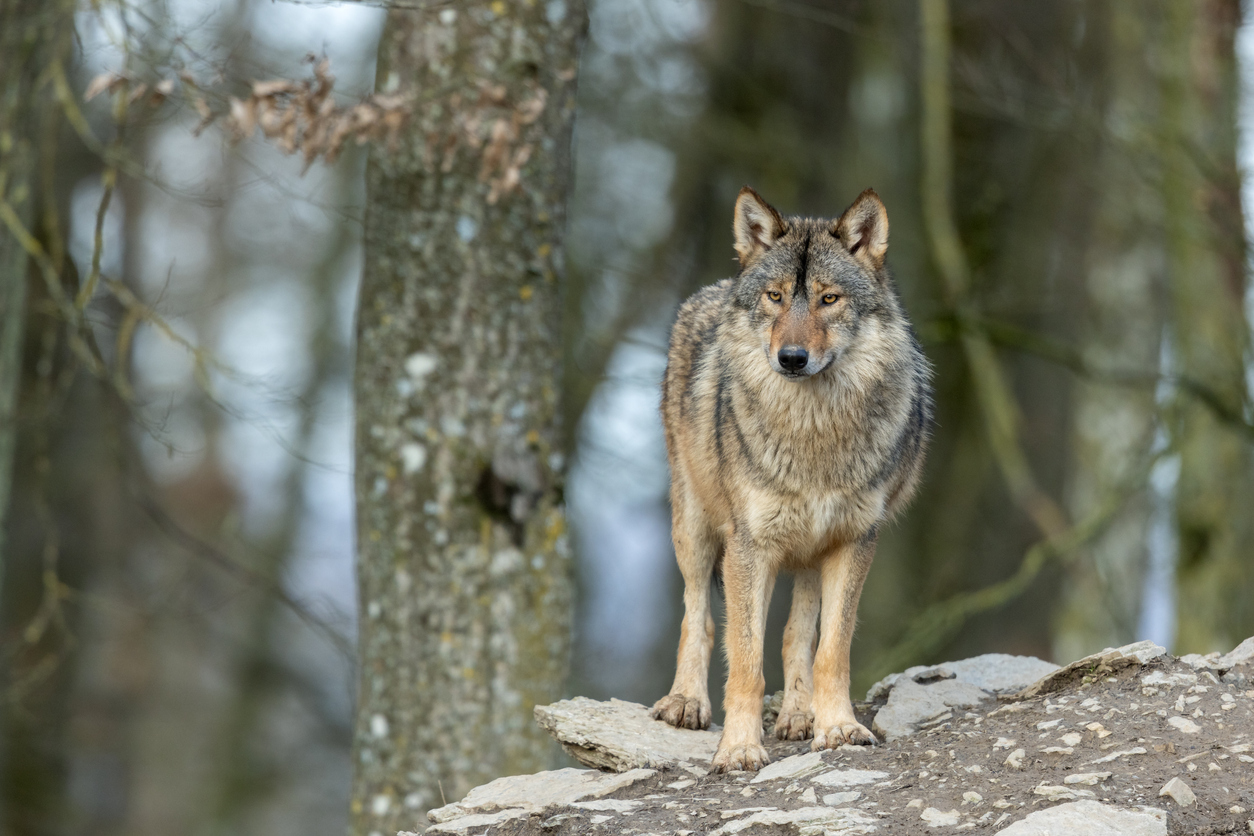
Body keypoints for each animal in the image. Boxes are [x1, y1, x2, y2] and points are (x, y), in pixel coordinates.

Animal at [649, 186, 933, 772]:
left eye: (829, 299)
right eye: (776, 297)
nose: (793, 358)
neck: (813, 434)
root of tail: (711, 290)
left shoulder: (853, 541)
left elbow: (830, 650)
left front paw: (838, 727)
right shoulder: (749, 546)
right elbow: (745, 660)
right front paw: (738, 748)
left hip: (808, 551)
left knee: (795, 633)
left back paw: (800, 716)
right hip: (695, 530)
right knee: (698, 616)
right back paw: (686, 702)